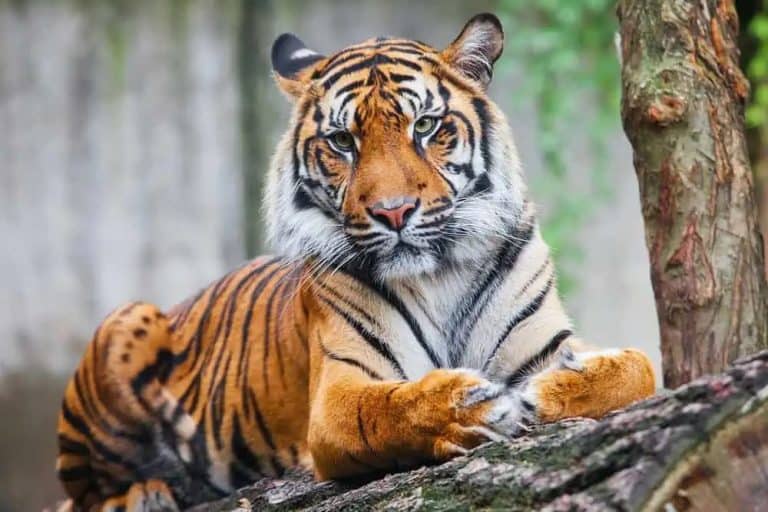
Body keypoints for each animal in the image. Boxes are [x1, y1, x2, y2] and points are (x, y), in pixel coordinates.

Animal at [55, 13, 656, 511]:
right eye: (343, 140)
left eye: (425, 127)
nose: (394, 212)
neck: (441, 273)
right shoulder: (338, 392)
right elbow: (390, 410)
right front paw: (472, 407)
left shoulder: (547, 340)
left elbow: (639, 368)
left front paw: (545, 392)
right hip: (128, 320)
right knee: (84, 493)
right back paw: (148, 493)